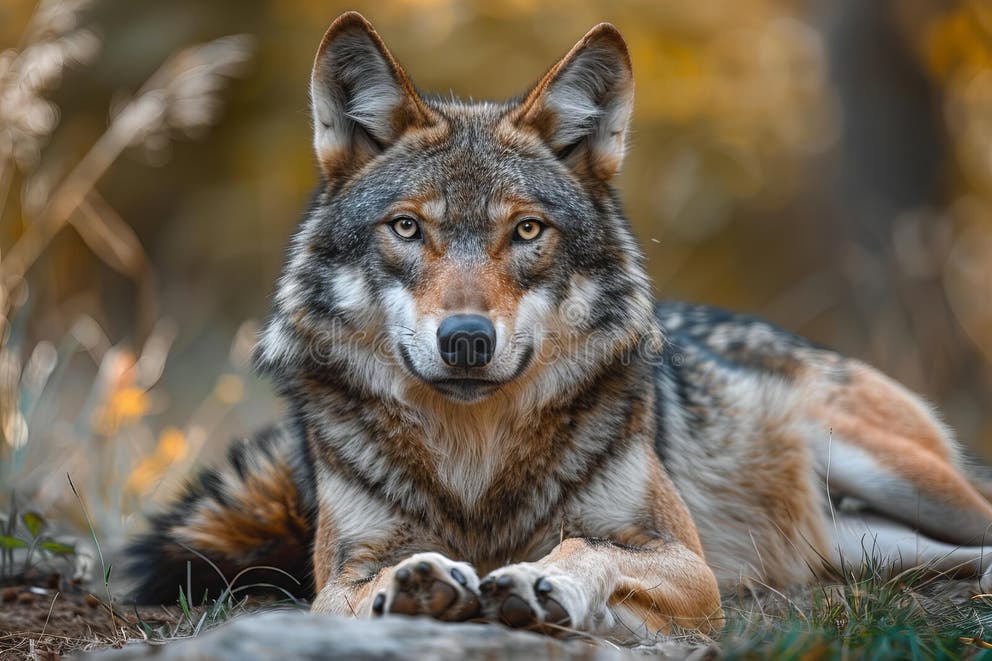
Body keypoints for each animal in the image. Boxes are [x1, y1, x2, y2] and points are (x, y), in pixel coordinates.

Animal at [125, 12, 992, 639]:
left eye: (527, 231)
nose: (465, 339)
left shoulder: (688, 564)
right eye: (407, 228)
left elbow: (585, 545)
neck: (475, 463)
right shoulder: (338, 573)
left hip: (899, 474)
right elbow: (366, 584)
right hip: (864, 546)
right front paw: (422, 584)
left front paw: (542, 583)